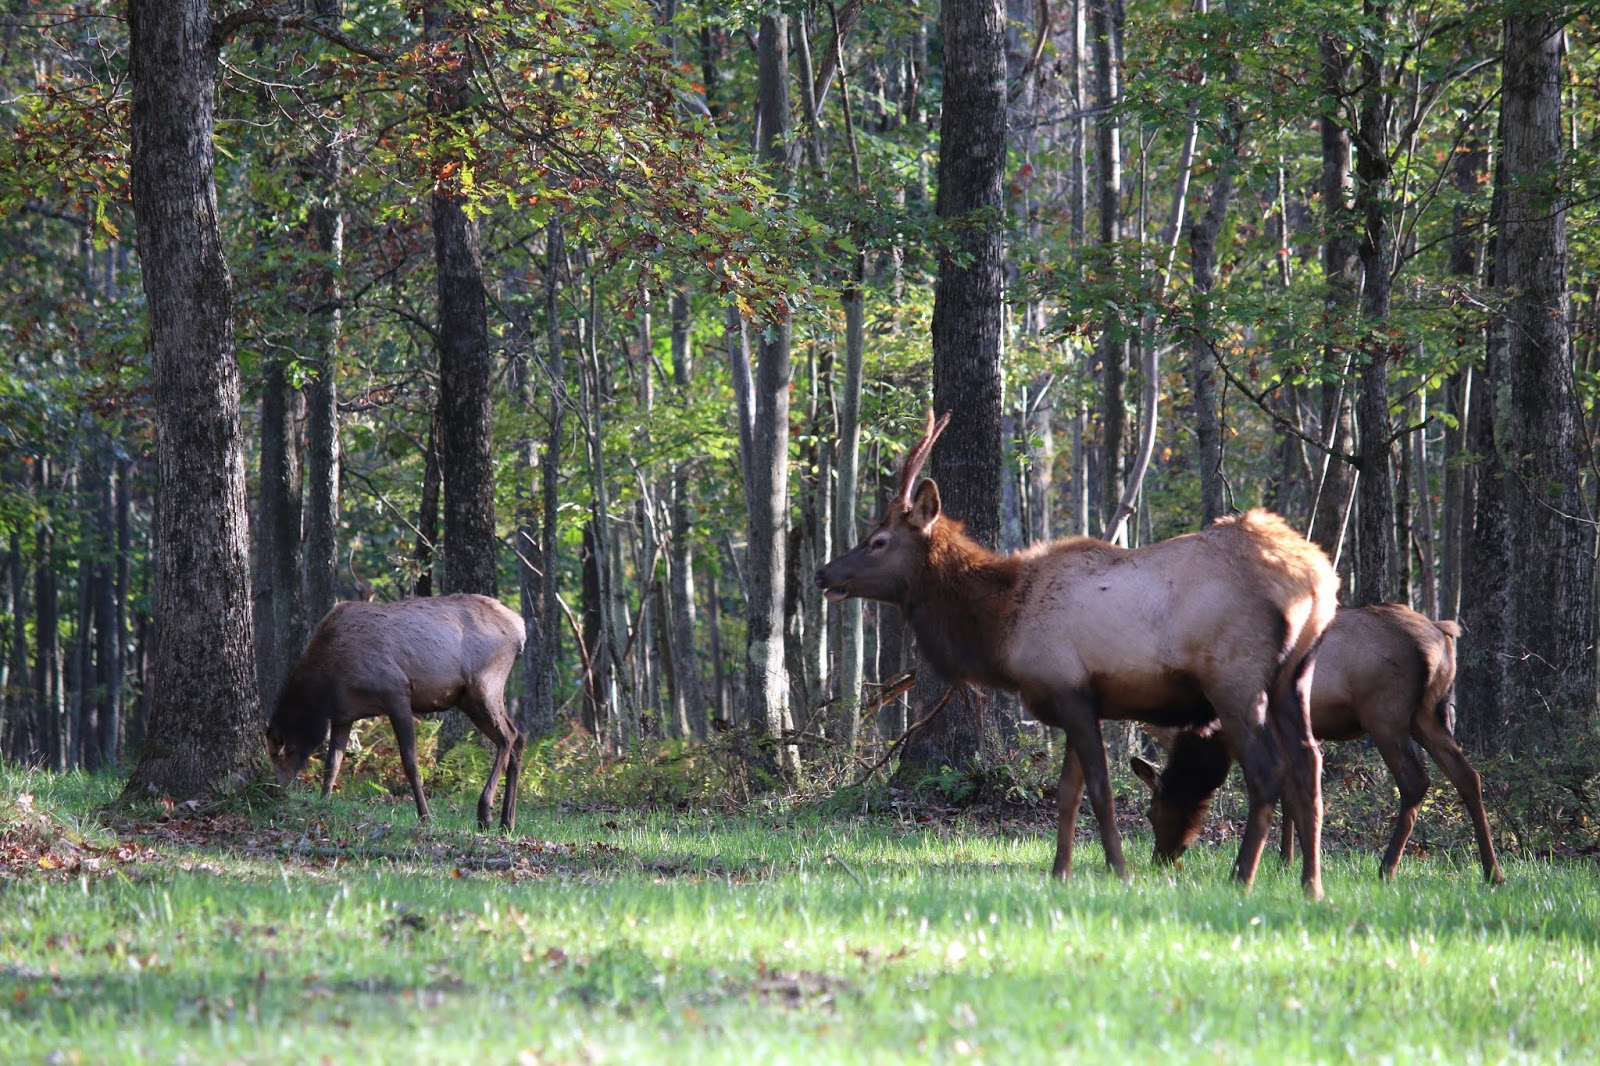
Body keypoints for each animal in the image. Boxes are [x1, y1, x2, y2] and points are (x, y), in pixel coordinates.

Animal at [265, 593, 527, 831]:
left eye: (280, 755)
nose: (277, 790)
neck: (324, 689)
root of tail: (521, 629)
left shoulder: (396, 692)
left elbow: (410, 761)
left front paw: (425, 816)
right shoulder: (343, 715)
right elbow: (333, 764)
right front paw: (323, 803)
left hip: (484, 686)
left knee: (508, 736)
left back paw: (485, 813)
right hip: (469, 698)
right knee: (519, 737)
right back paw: (508, 821)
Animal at [816, 412, 1340, 898]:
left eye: (878, 541)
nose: (824, 573)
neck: (1001, 626)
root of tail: (1318, 578)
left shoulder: (1071, 692)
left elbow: (1100, 790)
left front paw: (1120, 871)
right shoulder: (1075, 698)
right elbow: (1068, 793)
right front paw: (1060, 872)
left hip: (1234, 678)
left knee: (1268, 770)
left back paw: (1242, 877)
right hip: (1294, 677)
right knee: (1309, 765)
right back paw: (1311, 884)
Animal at [1131, 602, 1504, 884]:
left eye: (1152, 812)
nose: (1159, 859)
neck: (1215, 730)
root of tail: (1443, 634)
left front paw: (1283, 862)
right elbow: (1292, 793)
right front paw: (1287, 861)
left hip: (1386, 714)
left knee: (1416, 780)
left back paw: (1386, 868)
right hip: (1428, 715)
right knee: (1467, 776)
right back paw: (1493, 873)